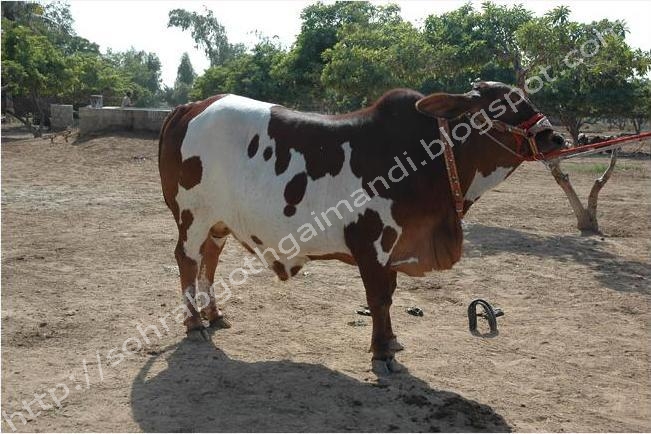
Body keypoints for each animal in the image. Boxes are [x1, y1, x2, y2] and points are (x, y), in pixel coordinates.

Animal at [158, 81, 566, 373]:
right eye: (505, 103)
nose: (556, 137)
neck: (431, 156)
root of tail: (190, 107)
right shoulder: (372, 245)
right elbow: (379, 299)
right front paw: (382, 353)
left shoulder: (395, 249)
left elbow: (389, 297)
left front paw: (391, 341)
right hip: (192, 216)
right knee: (187, 260)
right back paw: (194, 323)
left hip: (218, 222)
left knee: (210, 260)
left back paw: (214, 314)